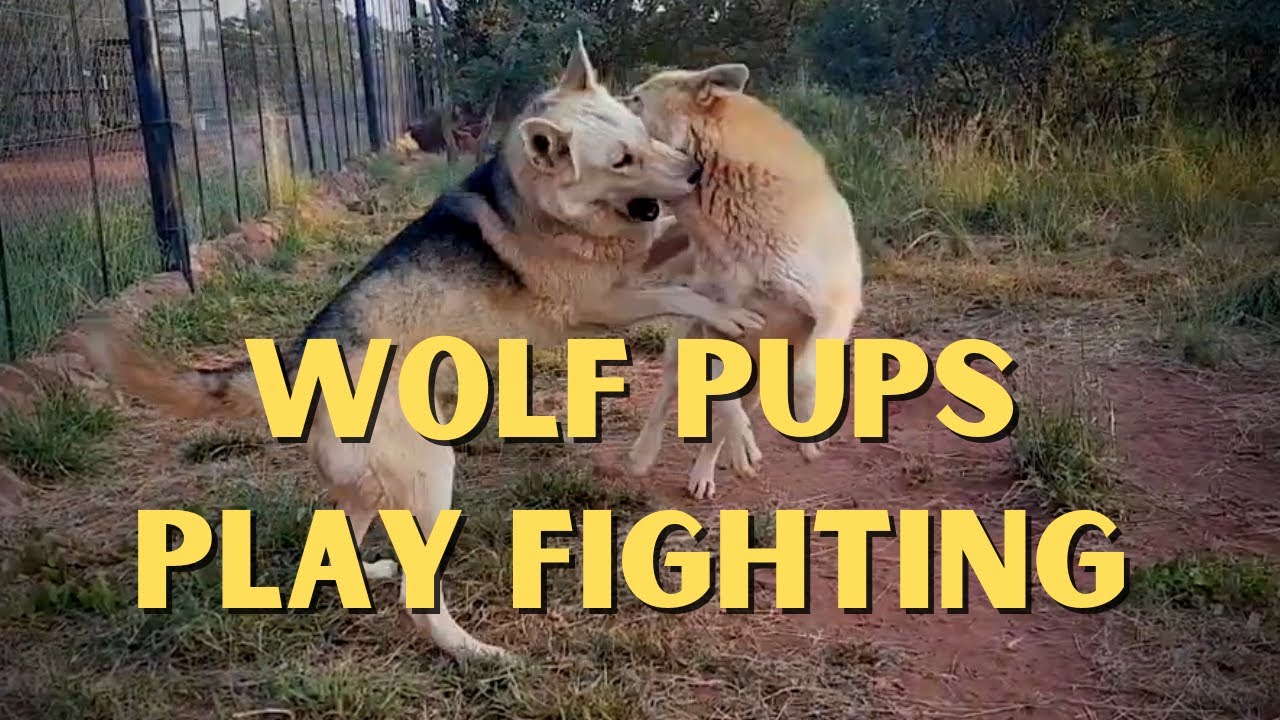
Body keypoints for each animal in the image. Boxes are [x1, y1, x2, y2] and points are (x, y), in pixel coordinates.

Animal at [81, 36, 762, 659]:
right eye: (621, 159)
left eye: (641, 133)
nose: (695, 174)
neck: (535, 202)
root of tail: (302, 355)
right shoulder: (602, 305)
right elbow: (685, 294)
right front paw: (732, 311)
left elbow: (674, 245)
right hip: (435, 473)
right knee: (419, 597)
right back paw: (477, 653)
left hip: (366, 493)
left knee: (336, 549)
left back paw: (375, 576)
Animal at [618, 63, 865, 500]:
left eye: (635, 99)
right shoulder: (718, 320)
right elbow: (720, 393)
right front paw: (744, 442)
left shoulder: (835, 308)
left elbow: (804, 377)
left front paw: (809, 438)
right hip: (682, 348)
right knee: (670, 397)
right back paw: (646, 455)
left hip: (761, 374)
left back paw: (709, 472)